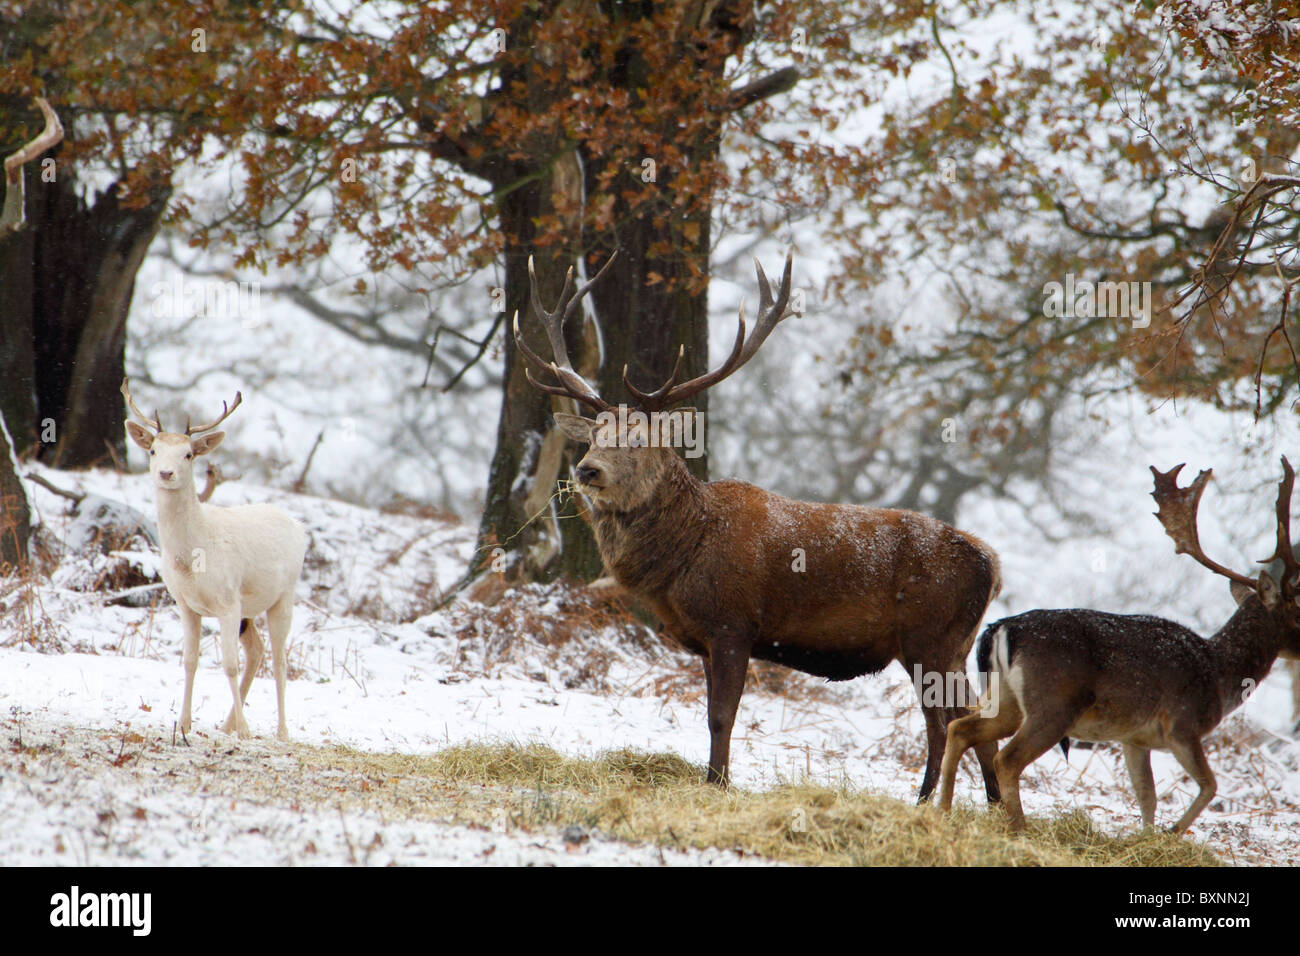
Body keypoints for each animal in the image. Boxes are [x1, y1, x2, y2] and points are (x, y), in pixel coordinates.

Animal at [122, 379, 306, 742]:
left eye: (188, 454)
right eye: (153, 451)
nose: (166, 473)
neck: (193, 558)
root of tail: (299, 527)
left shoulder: (227, 602)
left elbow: (229, 664)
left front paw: (246, 731)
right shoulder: (185, 604)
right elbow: (190, 660)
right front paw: (184, 724)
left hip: (284, 596)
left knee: (279, 661)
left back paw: (281, 731)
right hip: (250, 608)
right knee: (257, 650)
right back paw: (227, 723)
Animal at [513, 252, 1004, 798]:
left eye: (640, 439)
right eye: (594, 435)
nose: (587, 470)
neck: (685, 553)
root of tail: (993, 566)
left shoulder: (734, 623)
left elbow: (721, 716)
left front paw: (718, 784)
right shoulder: (706, 638)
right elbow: (711, 715)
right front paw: (716, 779)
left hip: (931, 638)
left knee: (943, 722)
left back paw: (924, 802)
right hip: (952, 646)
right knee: (972, 720)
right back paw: (991, 806)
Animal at [936, 458, 1300, 833]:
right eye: (1298, 612)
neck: (1220, 675)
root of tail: (1003, 628)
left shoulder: (1133, 739)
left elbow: (1147, 795)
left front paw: (1149, 834)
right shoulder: (1182, 725)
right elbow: (1210, 785)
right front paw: (1173, 832)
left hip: (1006, 699)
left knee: (960, 728)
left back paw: (942, 810)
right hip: (1053, 705)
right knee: (1006, 758)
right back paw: (1018, 827)